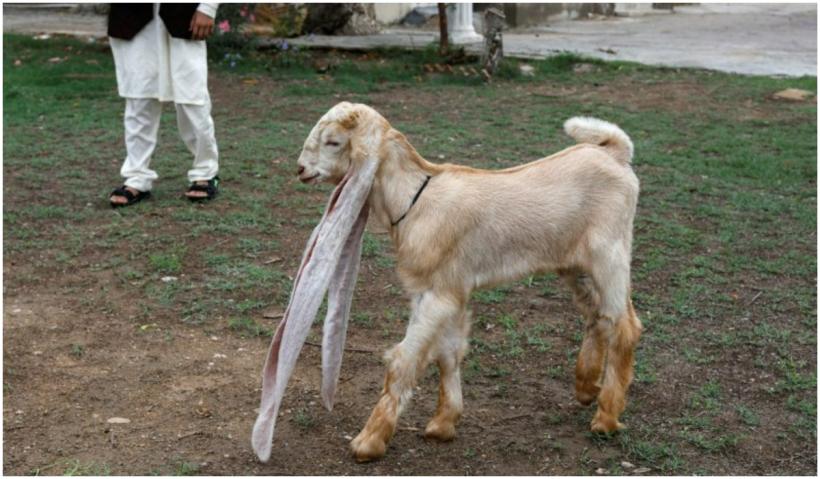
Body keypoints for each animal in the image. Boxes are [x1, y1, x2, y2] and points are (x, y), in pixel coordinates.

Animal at [252, 102, 642, 463]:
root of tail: (615, 153)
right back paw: (586, 387)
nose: (300, 169)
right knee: (598, 316)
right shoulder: (448, 290)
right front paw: (443, 423)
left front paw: (369, 441)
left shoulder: (437, 295)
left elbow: (403, 361)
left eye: (333, 141)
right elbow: (448, 354)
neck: (416, 200)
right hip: (575, 265)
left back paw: (606, 417)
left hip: (609, 253)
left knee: (623, 324)